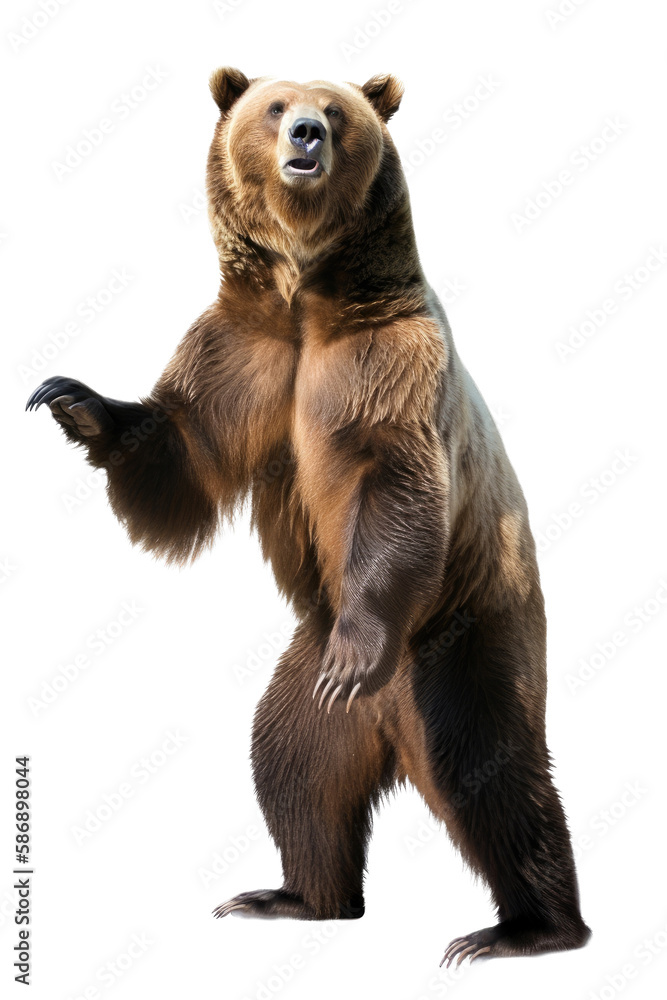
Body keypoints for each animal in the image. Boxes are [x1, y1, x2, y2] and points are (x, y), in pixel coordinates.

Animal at [27, 68, 591, 964]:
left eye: (334, 111)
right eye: (271, 107)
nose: (305, 136)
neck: (305, 300)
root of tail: (391, 730)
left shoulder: (388, 362)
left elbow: (394, 483)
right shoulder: (240, 356)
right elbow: (181, 458)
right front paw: (74, 400)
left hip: (465, 627)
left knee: (488, 762)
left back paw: (527, 929)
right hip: (308, 670)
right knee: (292, 764)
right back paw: (293, 896)